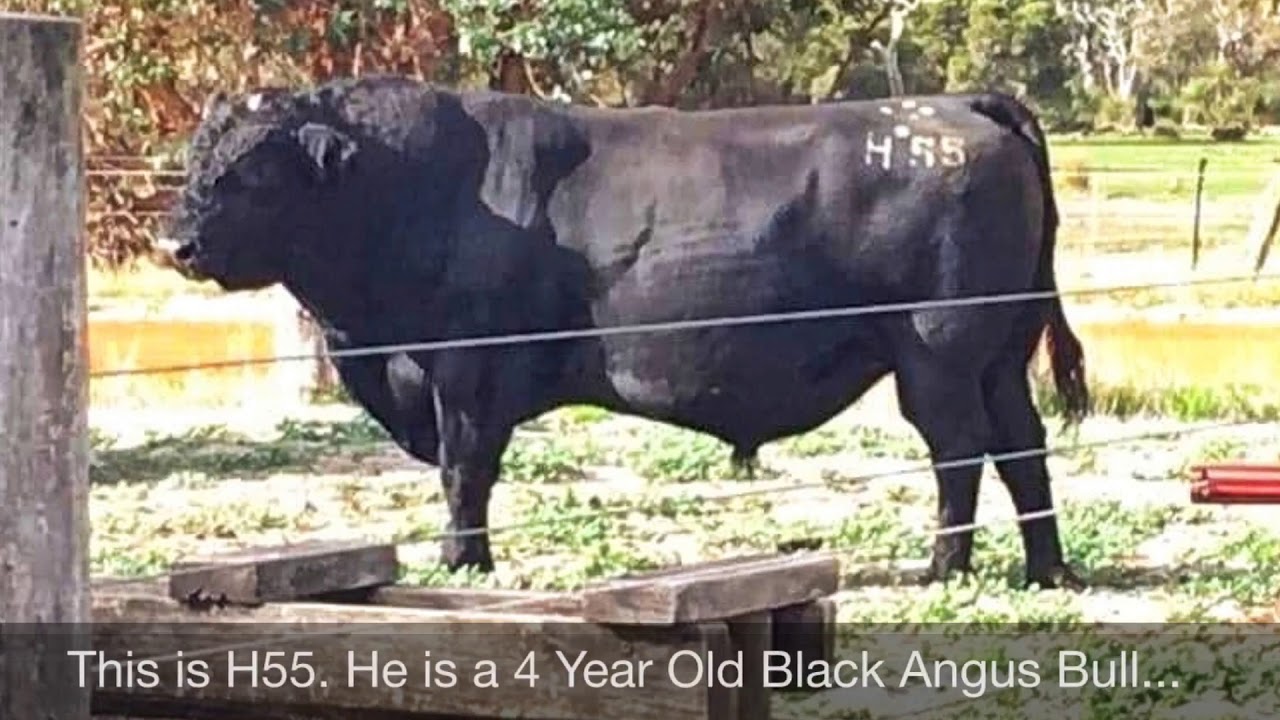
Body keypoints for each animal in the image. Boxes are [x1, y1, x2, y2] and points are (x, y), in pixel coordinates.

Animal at [156, 75, 1091, 590]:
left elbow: (465, 475)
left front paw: (464, 564)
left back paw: (944, 567)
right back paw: (1045, 568)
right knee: (1022, 447)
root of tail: (959, 106)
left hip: (937, 352)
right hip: (999, 357)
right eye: (197, 160)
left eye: (253, 169)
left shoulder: (466, 375)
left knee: (959, 452)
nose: (177, 244)